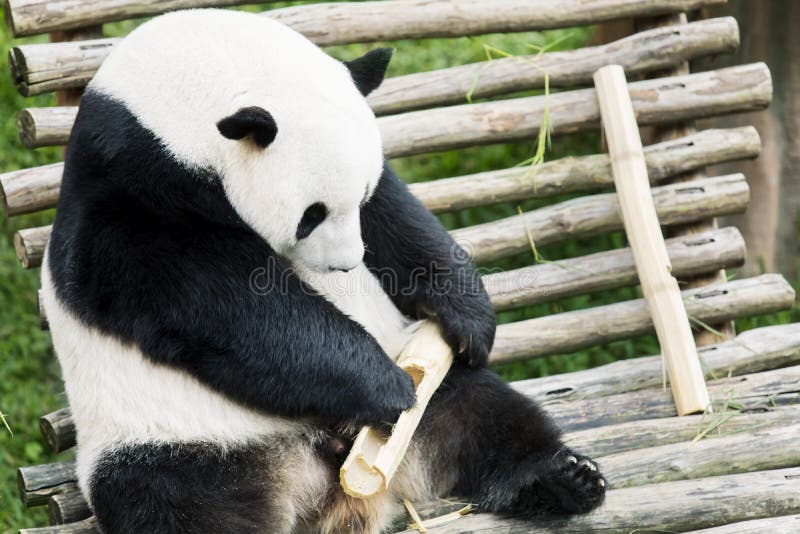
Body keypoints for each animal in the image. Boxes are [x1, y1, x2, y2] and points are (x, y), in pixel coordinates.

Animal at [41, 9, 605, 534]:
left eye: (358, 196)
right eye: (311, 214)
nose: (345, 265)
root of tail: (323, 477)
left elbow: (398, 217)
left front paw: (469, 320)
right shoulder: (124, 188)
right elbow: (217, 298)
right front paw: (384, 386)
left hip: (433, 401)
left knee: (484, 414)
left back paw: (562, 479)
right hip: (166, 440)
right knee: (172, 501)